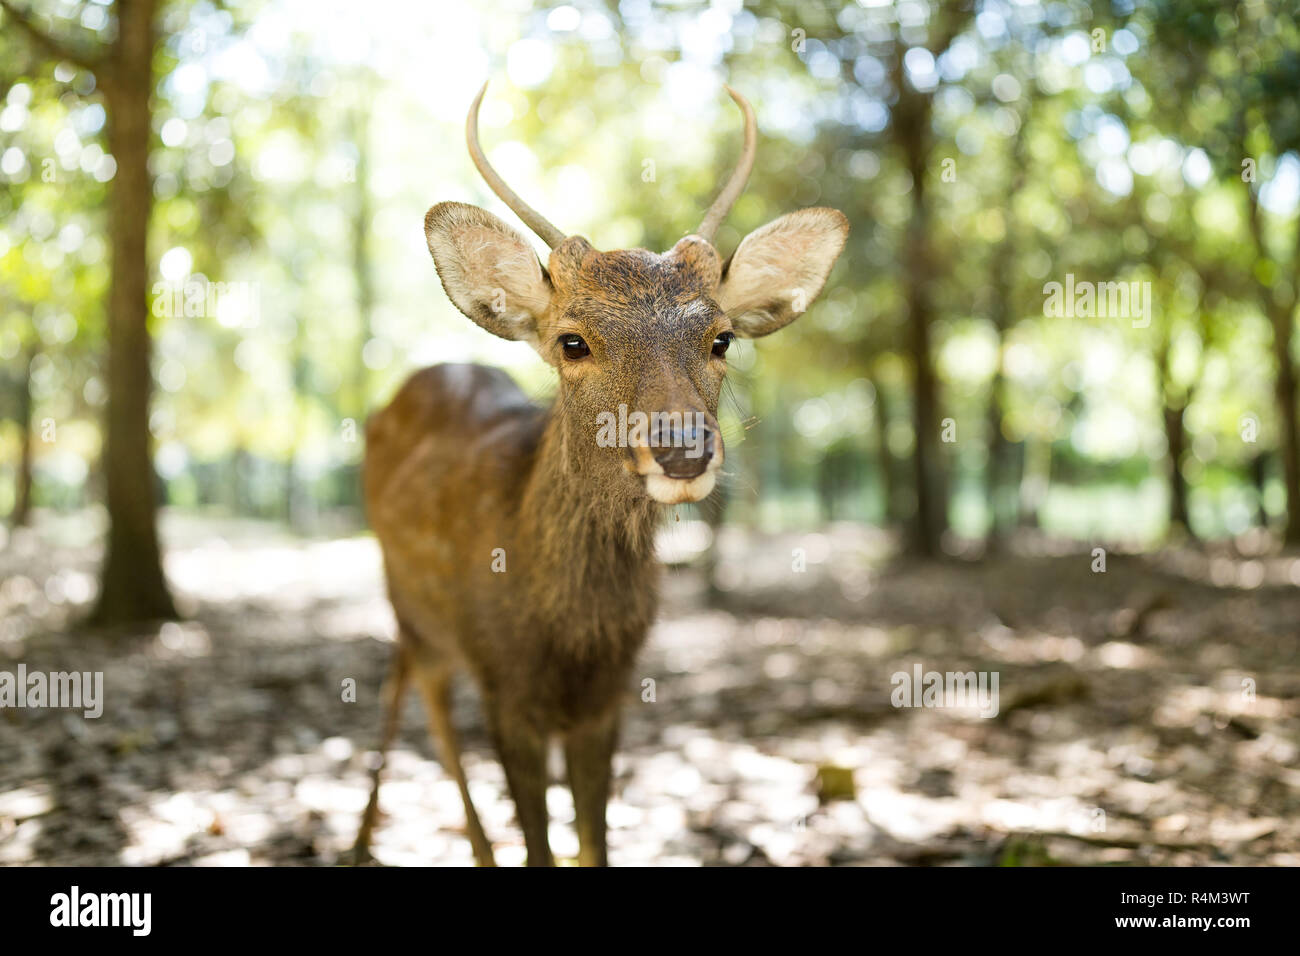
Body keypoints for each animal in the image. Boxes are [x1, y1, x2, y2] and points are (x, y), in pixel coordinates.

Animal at [353, 81, 848, 866]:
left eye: (722, 339)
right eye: (572, 341)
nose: (682, 448)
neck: (568, 637)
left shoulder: (608, 699)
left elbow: (592, 843)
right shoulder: (504, 688)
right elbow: (539, 846)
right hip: (411, 609)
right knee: (423, 698)